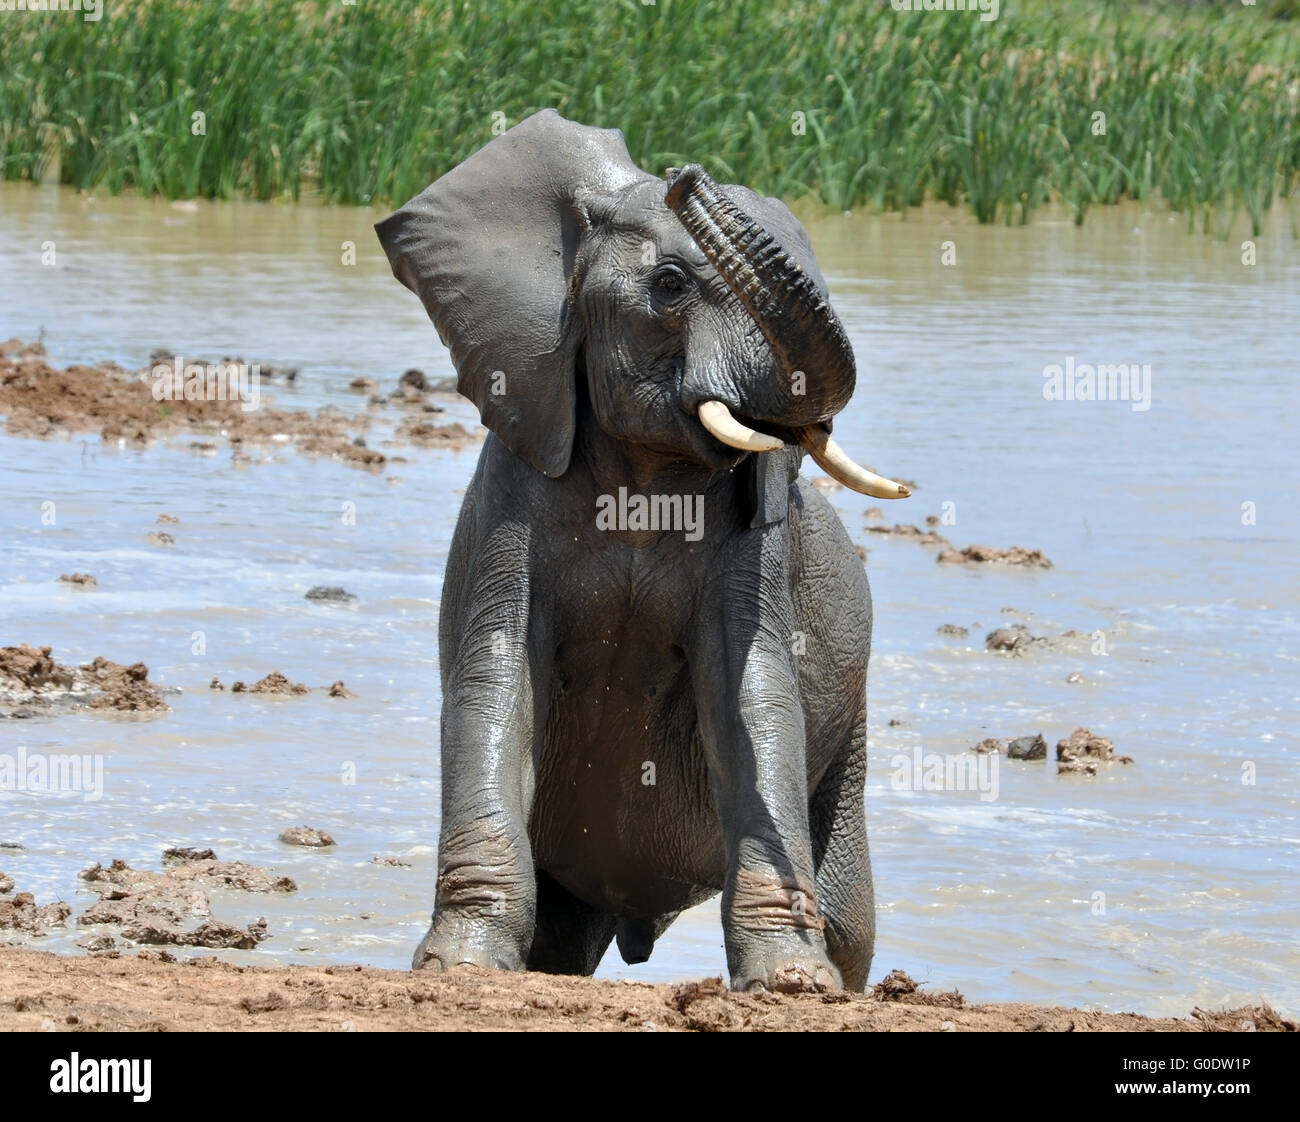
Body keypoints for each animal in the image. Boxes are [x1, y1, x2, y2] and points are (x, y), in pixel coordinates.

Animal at [376, 109, 908, 992]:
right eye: (669, 285)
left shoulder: (756, 549)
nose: (688, 176)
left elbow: (752, 692)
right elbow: (498, 675)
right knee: (564, 942)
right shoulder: (513, 487)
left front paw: (790, 986)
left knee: (854, 922)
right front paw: (462, 968)